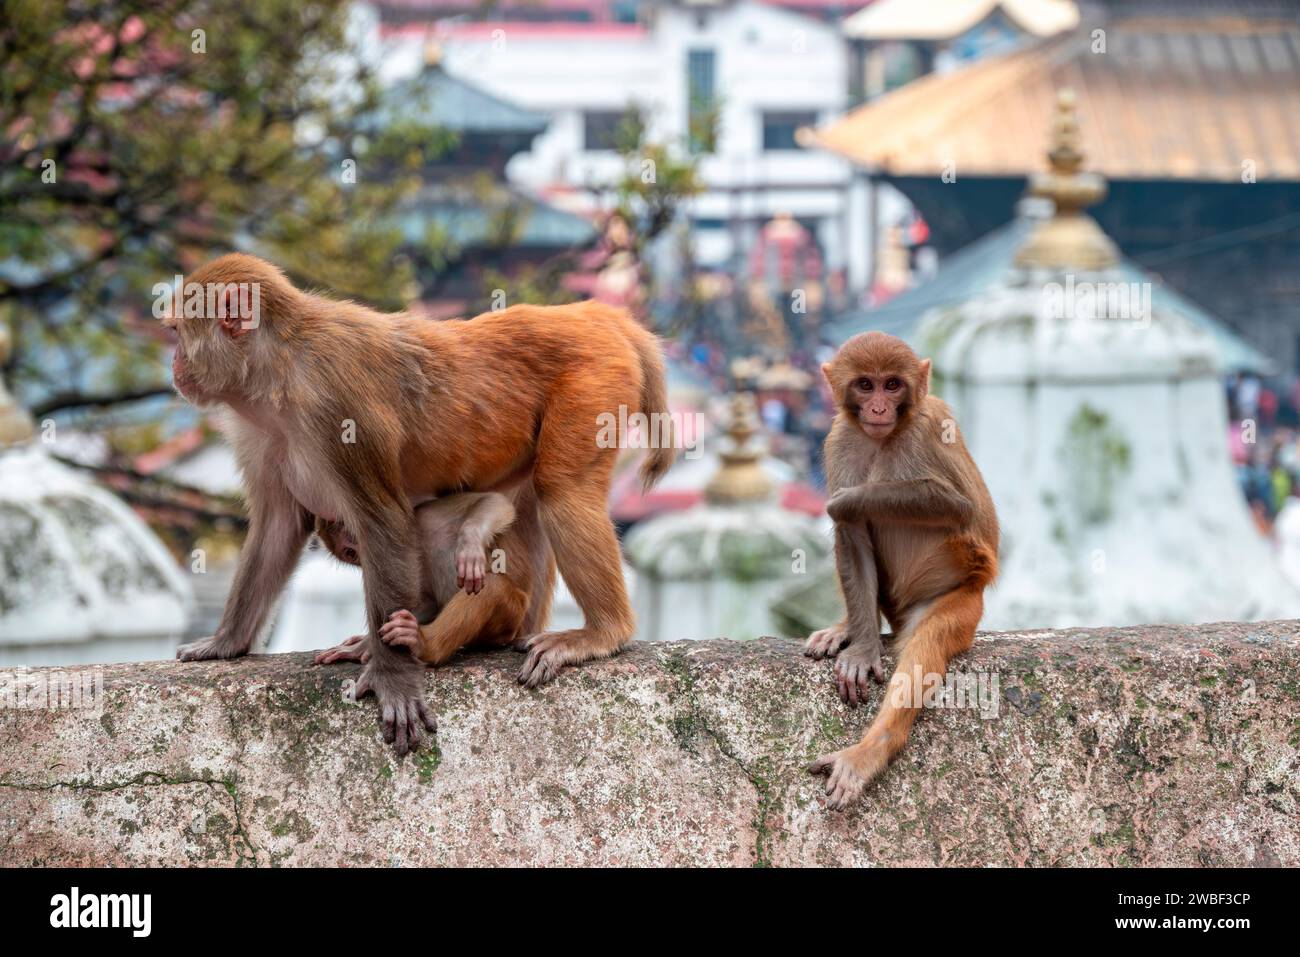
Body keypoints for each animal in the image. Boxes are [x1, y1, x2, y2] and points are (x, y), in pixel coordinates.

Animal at [165, 253, 673, 755]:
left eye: (175, 332)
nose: (173, 366)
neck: (278, 366)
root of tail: (592, 314)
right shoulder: (260, 431)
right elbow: (277, 527)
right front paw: (225, 643)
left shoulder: (337, 409)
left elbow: (385, 522)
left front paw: (393, 680)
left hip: (593, 381)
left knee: (561, 492)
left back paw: (600, 633)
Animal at [805, 331, 998, 809]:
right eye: (865, 385)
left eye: (892, 385)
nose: (878, 409)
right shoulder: (839, 439)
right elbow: (852, 537)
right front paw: (862, 649)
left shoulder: (928, 428)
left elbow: (960, 508)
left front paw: (851, 499)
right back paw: (848, 626)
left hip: (962, 602)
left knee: (924, 649)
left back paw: (868, 752)